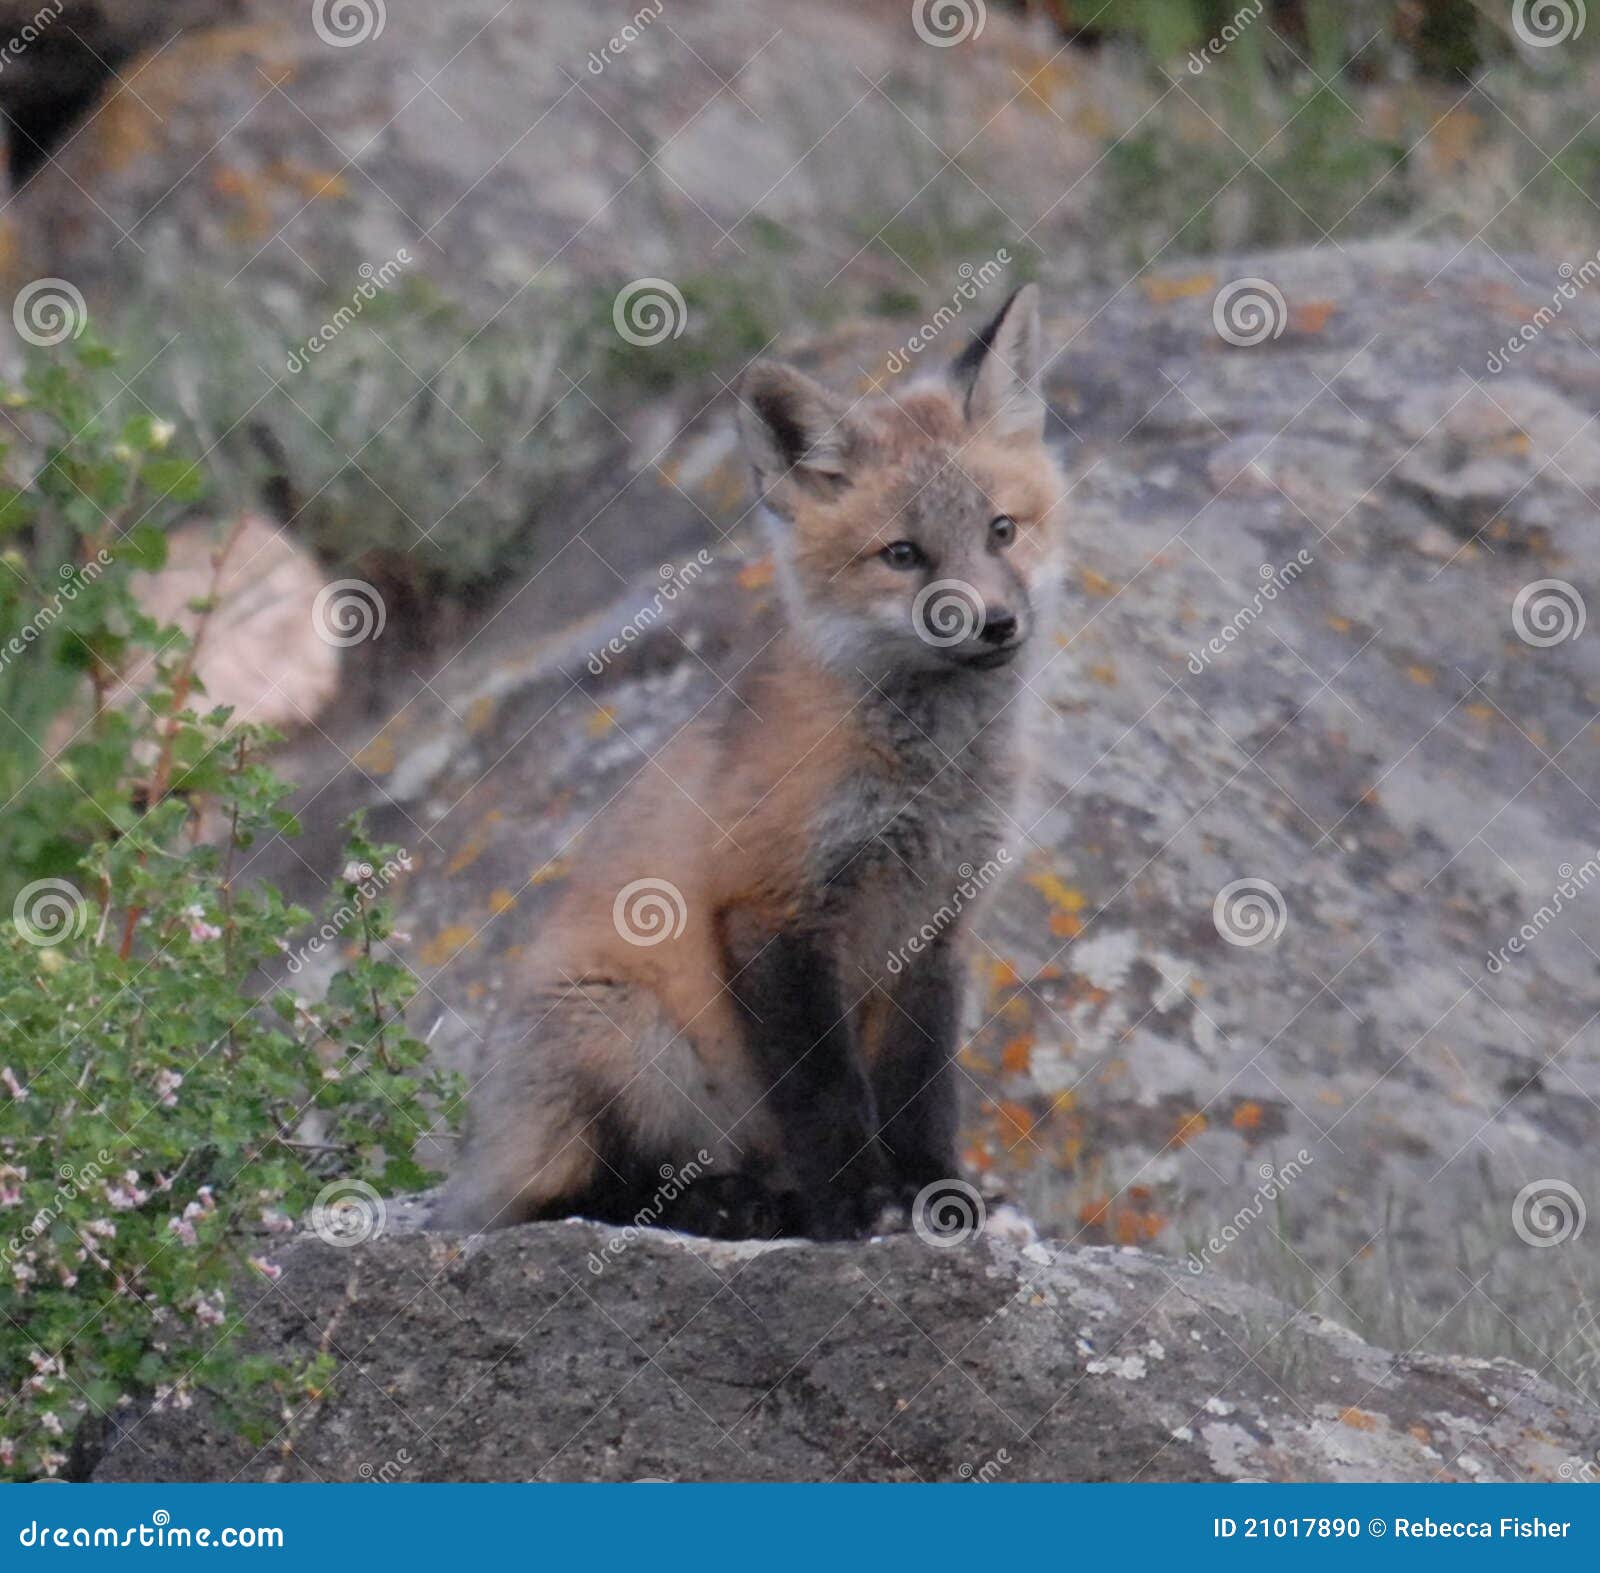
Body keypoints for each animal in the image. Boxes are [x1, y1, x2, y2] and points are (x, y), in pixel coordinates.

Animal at [437, 284, 1067, 1240]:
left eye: (1003, 530)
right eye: (903, 555)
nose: (996, 624)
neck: (928, 775)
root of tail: (477, 1159)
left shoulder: (938, 926)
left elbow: (919, 1091)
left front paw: (937, 1193)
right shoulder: (770, 907)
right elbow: (826, 1090)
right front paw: (857, 1204)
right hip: (626, 1031)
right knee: (561, 1202)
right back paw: (732, 1205)